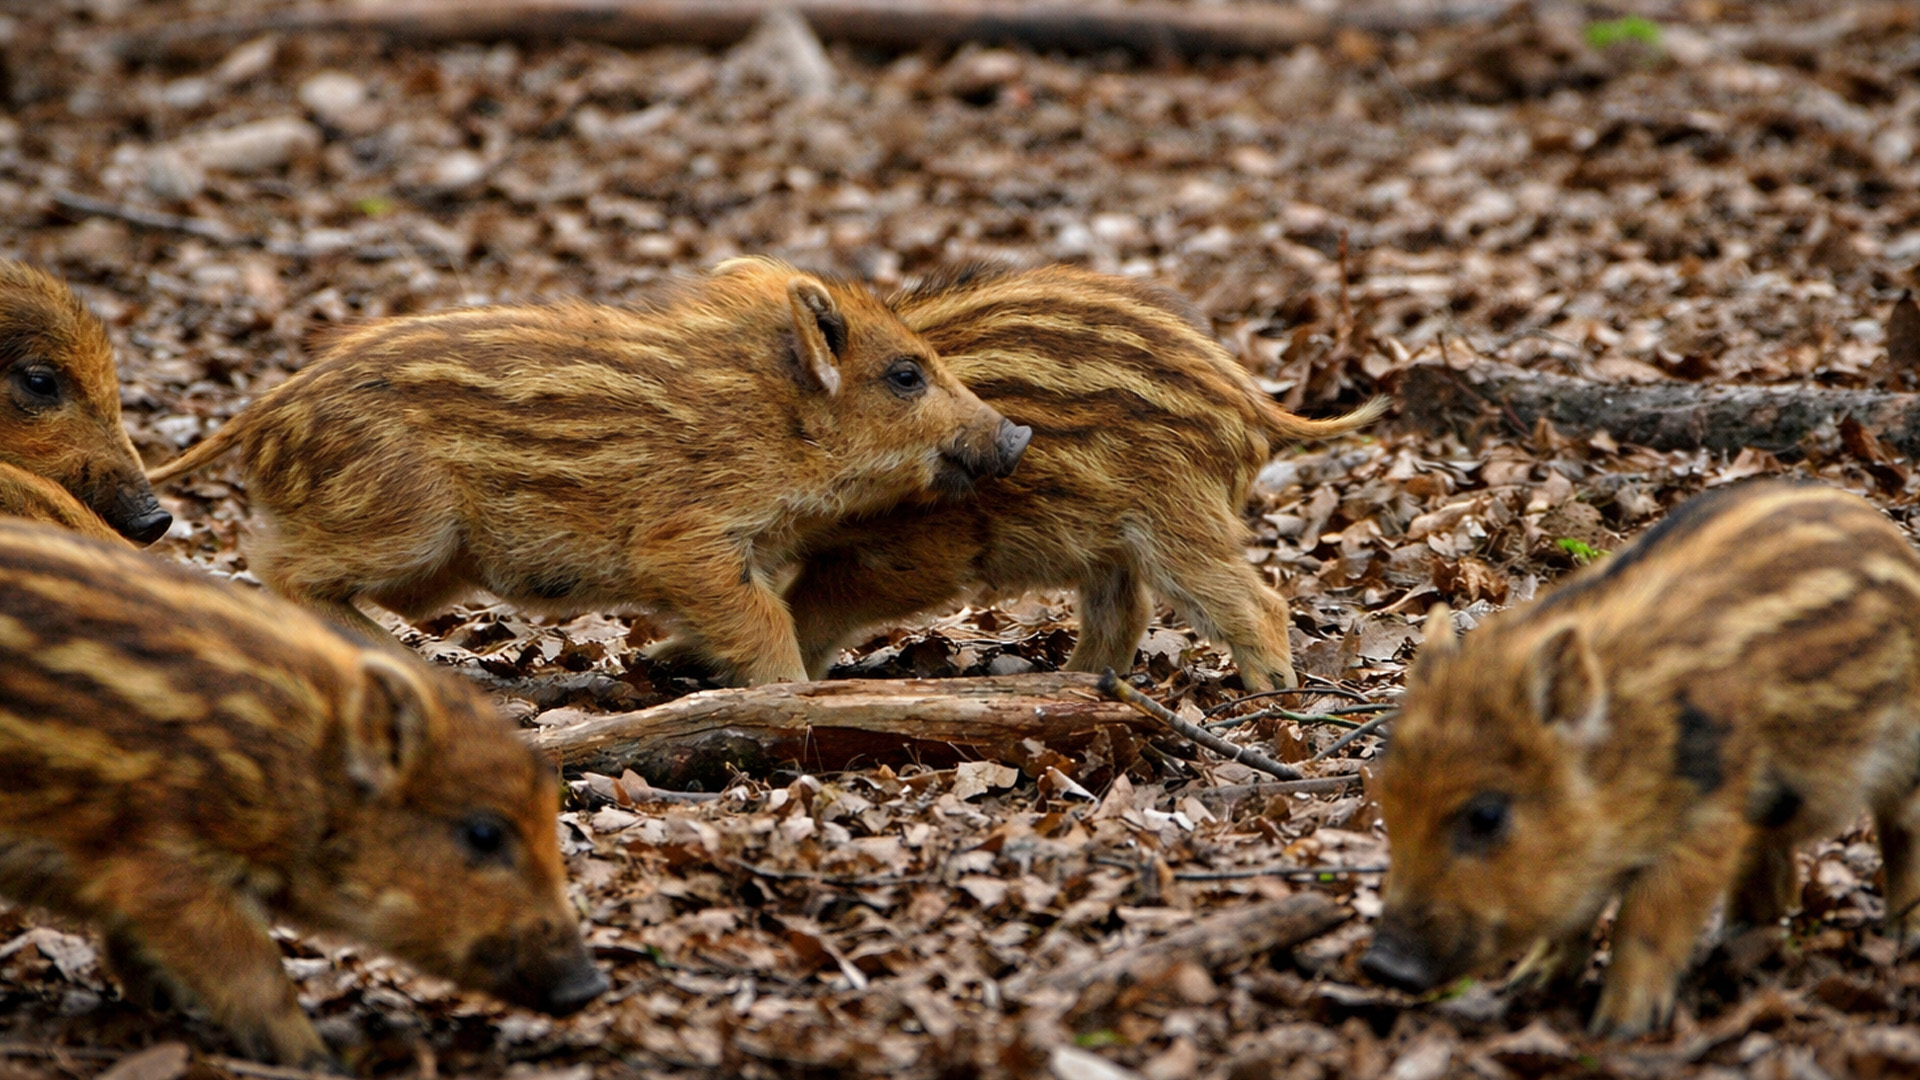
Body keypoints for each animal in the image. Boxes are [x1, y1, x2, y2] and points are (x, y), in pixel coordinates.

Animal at [0, 518, 606, 1069]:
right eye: (483, 833)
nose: (590, 988)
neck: (295, 765)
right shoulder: (160, 860)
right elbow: (253, 972)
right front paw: (318, 1061)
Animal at [147, 256, 1029, 685]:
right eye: (907, 375)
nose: (1017, 435)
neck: (774, 423)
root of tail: (265, 412)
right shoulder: (687, 538)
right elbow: (764, 618)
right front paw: (790, 697)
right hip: (403, 521)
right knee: (273, 563)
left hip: (434, 559)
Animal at [661, 263, 1383, 690]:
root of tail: (1249, 400)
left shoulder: (924, 548)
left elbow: (814, 600)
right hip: (1113, 538)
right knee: (1125, 611)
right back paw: (1068, 682)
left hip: (1176, 520)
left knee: (1252, 600)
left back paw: (1271, 692)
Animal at [1363, 480, 1920, 1037]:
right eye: (1388, 801)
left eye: (1486, 815)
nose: (1381, 966)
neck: (1627, 734)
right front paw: (1526, 984)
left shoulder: (1708, 814)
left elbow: (1648, 917)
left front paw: (1617, 1029)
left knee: (1903, 833)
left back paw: (1902, 936)